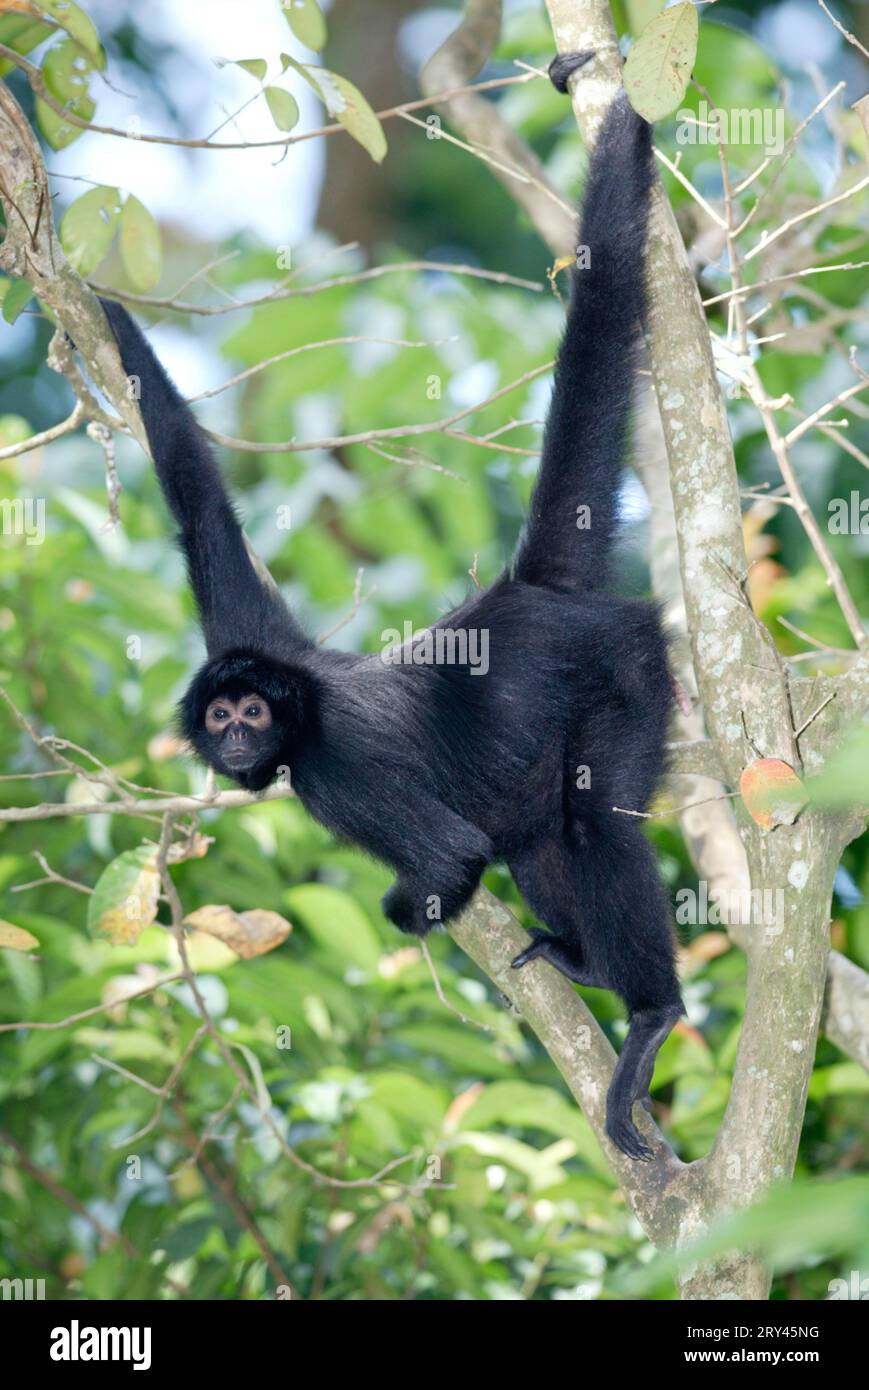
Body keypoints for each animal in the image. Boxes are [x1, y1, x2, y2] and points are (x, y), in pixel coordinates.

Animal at [93, 54, 683, 1161]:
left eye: (253, 713)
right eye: (221, 713)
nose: (236, 739)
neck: (303, 706)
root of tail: (518, 601)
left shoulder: (336, 768)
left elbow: (449, 855)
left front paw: (412, 908)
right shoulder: (255, 635)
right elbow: (194, 487)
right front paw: (95, 308)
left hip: (627, 672)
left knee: (592, 825)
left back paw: (648, 1016)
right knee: (541, 834)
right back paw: (585, 965)